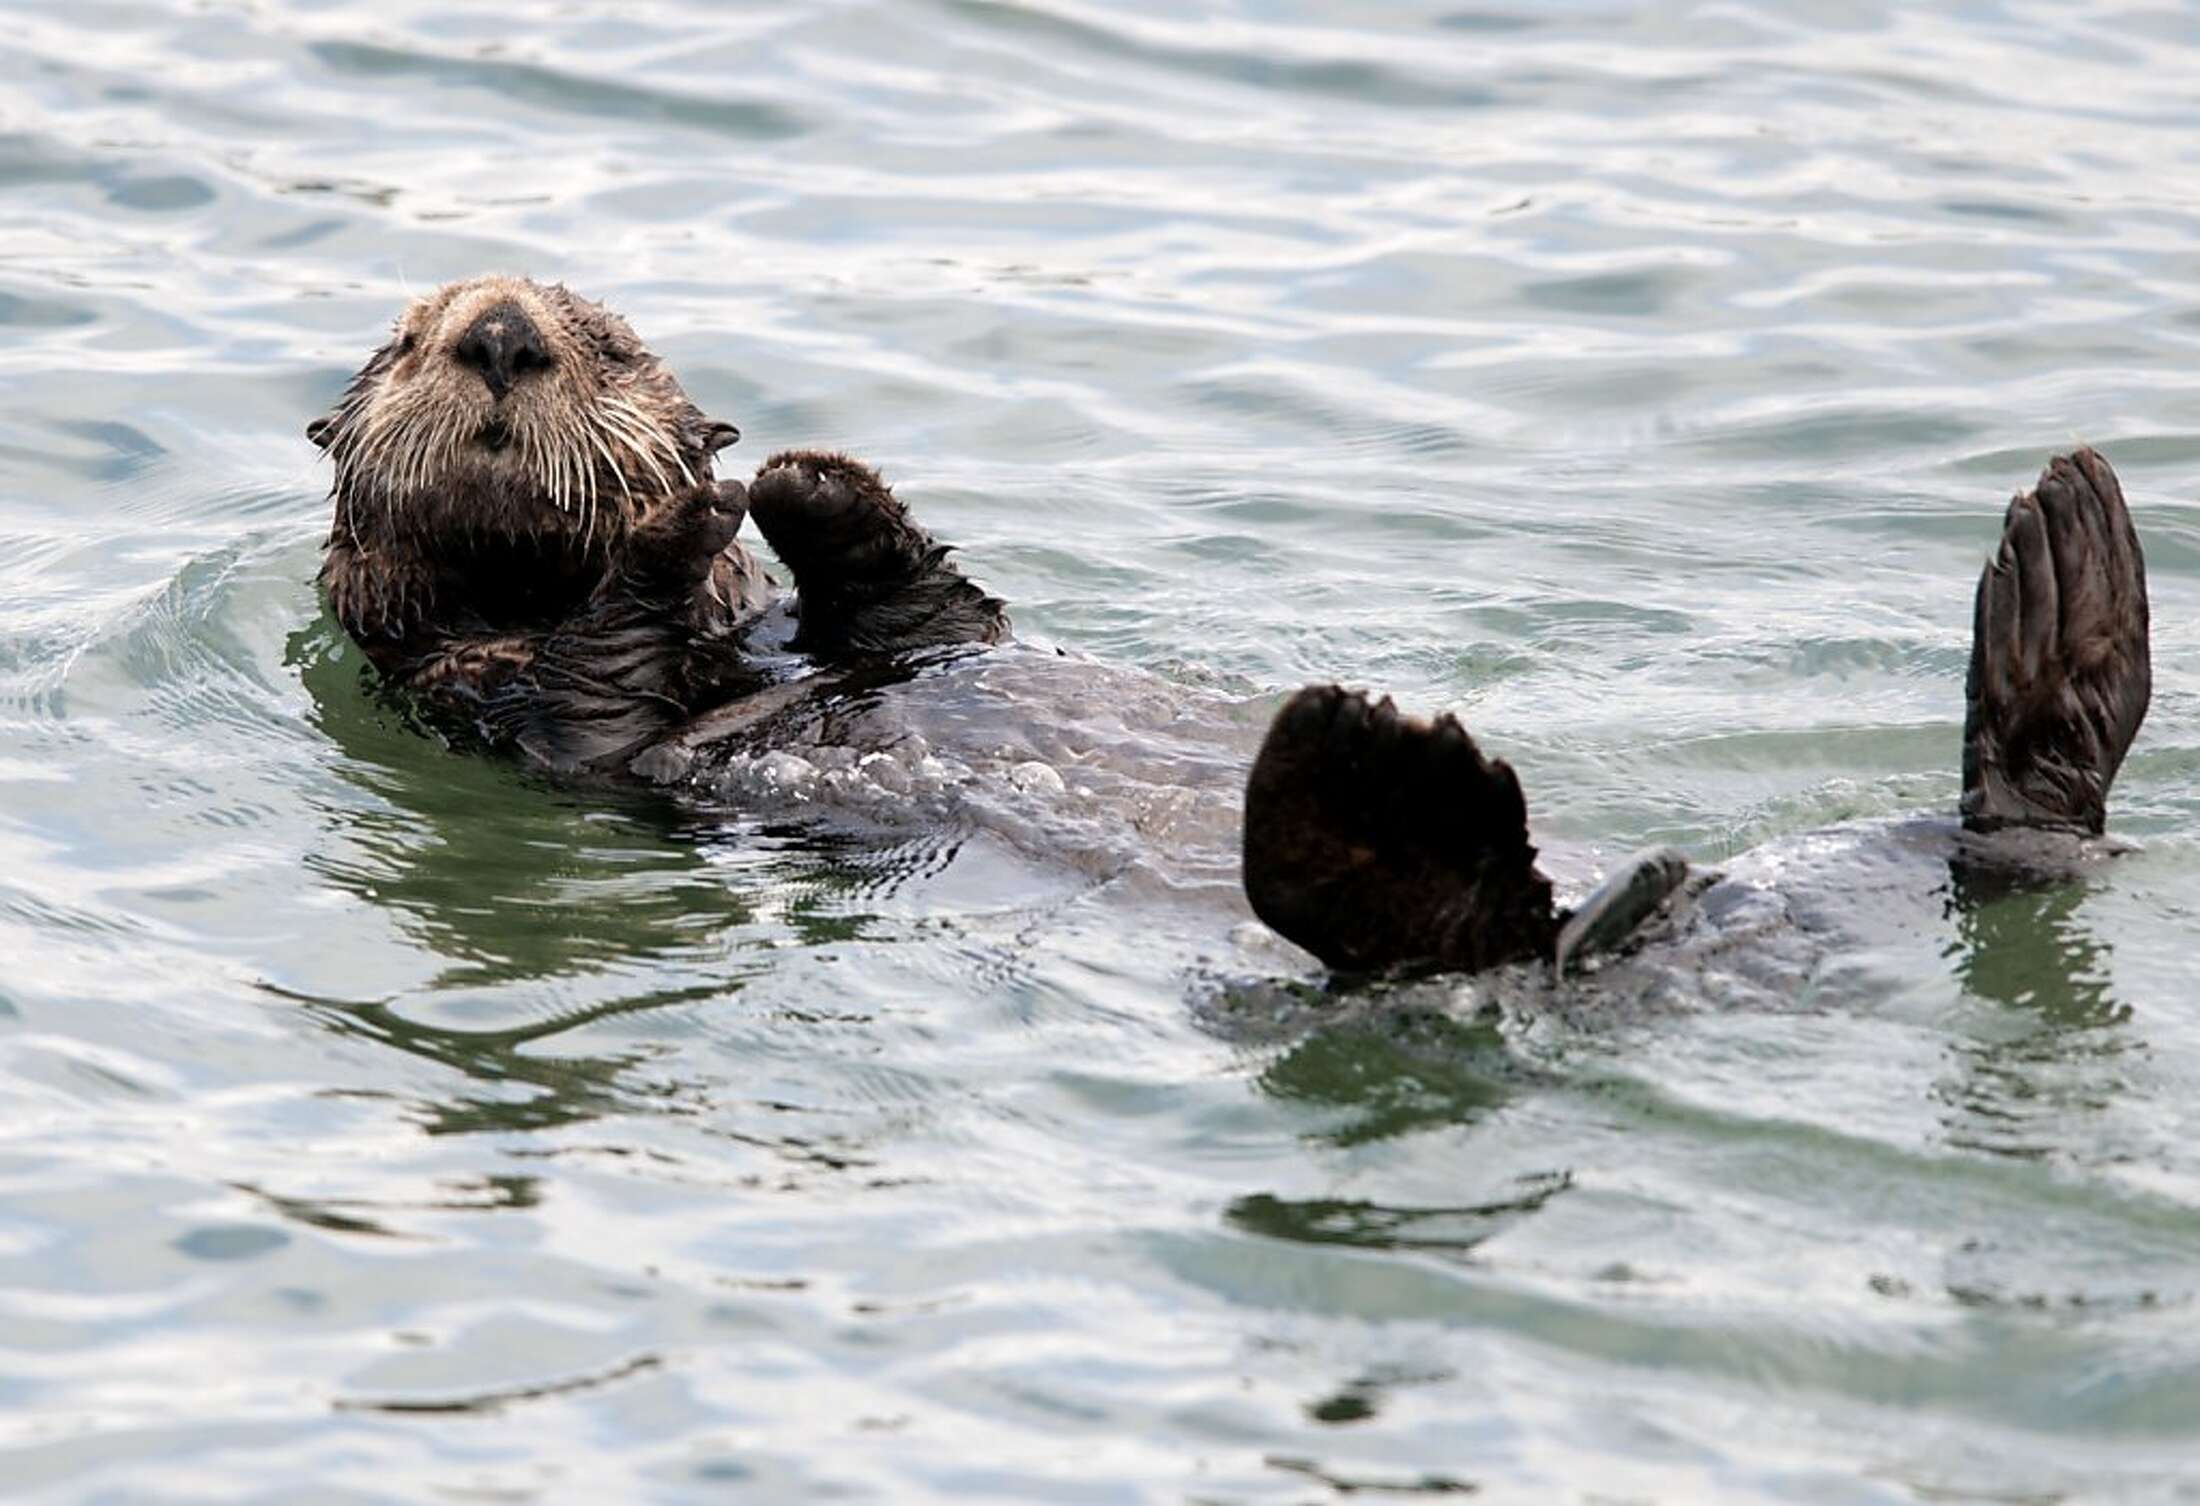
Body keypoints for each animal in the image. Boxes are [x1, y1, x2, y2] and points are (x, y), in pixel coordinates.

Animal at [311, 277, 2154, 986]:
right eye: (404, 335)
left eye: (607, 337)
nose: (496, 330)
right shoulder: (521, 713)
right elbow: (594, 676)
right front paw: (684, 517)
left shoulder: (903, 632)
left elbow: (926, 606)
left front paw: (809, 483)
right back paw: (1385, 786)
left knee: (2012, 837)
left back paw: (2065, 599)